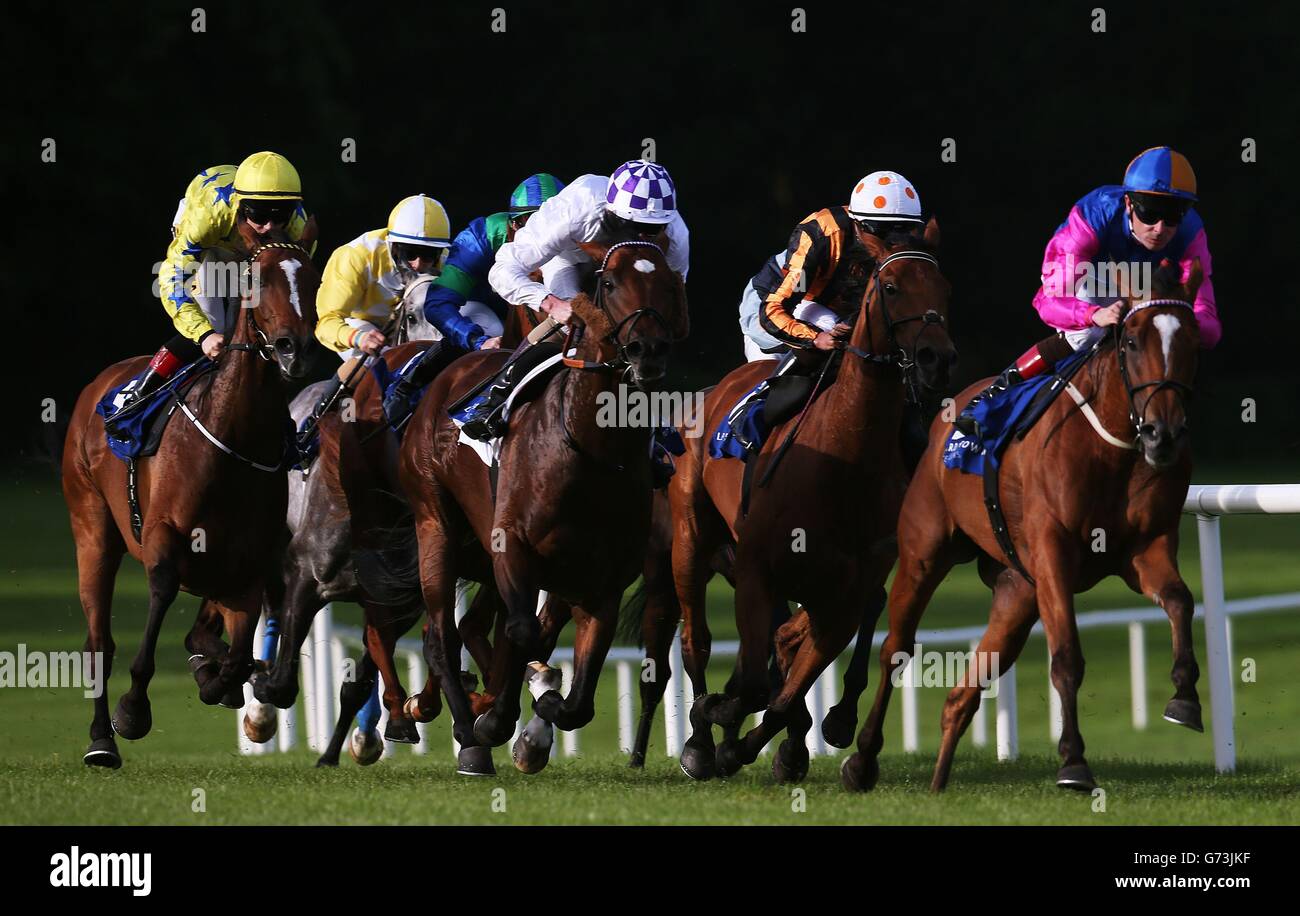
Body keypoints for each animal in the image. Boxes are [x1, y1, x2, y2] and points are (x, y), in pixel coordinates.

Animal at [62, 220, 319, 768]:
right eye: (256, 280)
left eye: (312, 280)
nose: (296, 348)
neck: (233, 437)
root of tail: (100, 383)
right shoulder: (165, 534)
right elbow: (160, 591)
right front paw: (133, 710)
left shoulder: (248, 564)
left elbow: (238, 654)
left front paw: (222, 679)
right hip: (92, 530)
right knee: (99, 642)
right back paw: (101, 741)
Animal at [395, 237, 689, 775]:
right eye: (609, 282)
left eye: (669, 282)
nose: (648, 350)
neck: (592, 450)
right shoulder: (512, 547)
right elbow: (523, 633)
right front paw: (499, 717)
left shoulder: (604, 580)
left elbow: (577, 694)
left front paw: (534, 719)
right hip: (435, 523)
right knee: (440, 634)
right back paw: (467, 734)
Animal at [669, 222, 956, 783]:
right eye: (892, 288)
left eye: (944, 286)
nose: (937, 358)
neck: (844, 457)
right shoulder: (757, 569)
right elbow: (756, 679)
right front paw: (722, 719)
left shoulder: (848, 588)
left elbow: (786, 684)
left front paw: (768, 744)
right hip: (692, 538)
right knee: (696, 639)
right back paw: (698, 745)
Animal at [843, 262, 1205, 793]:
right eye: (1133, 341)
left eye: (1192, 342)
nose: (1164, 435)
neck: (1112, 450)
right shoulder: (1053, 552)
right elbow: (1066, 656)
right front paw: (1073, 761)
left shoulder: (1146, 549)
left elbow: (1180, 600)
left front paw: (1184, 697)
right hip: (924, 552)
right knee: (895, 648)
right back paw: (862, 759)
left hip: (1017, 588)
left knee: (963, 693)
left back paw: (937, 784)